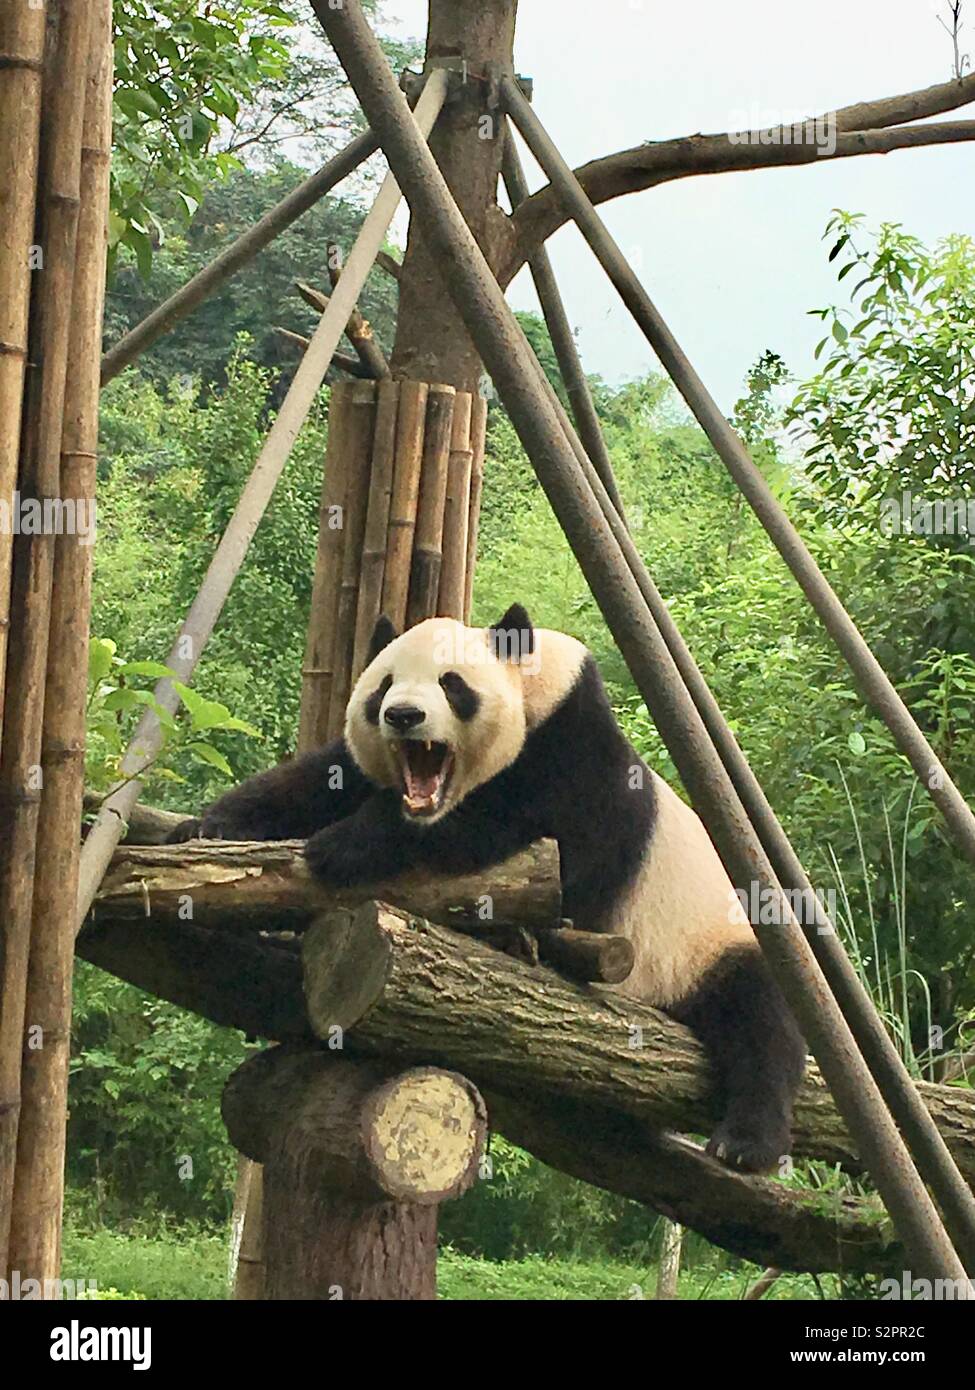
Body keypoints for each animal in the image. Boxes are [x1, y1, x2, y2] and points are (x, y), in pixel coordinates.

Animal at [171, 604, 805, 1172]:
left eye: (452, 685)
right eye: (383, 687)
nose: (403, 716)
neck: (536, 691)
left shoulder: (576, 753)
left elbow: (526, 834)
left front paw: (346, 845)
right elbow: (314, 780)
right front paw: (207, 825)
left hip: (703, 943)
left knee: (759, 1020)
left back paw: (745, 1142)